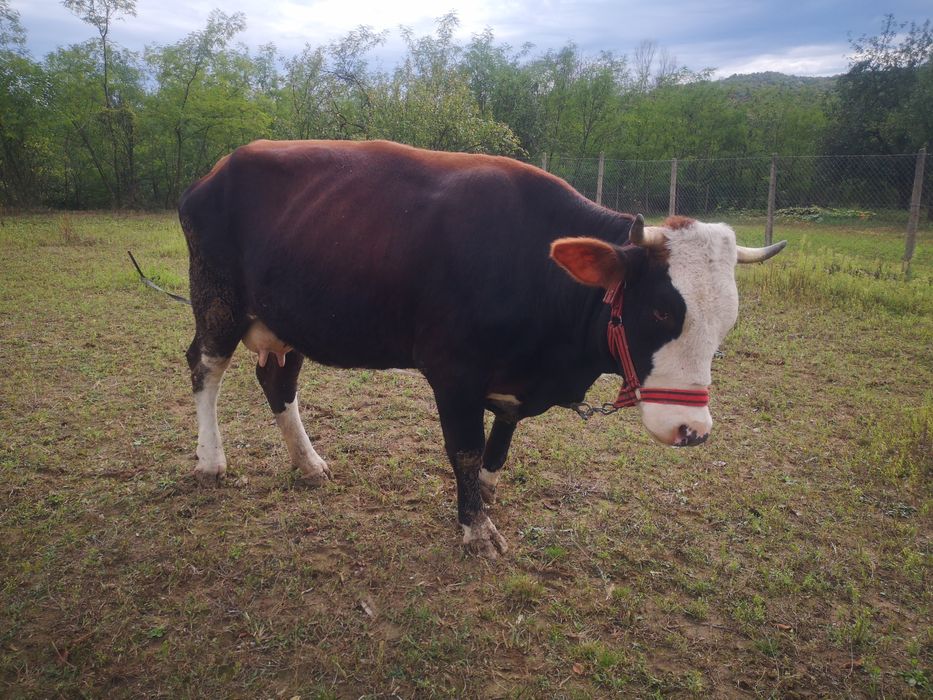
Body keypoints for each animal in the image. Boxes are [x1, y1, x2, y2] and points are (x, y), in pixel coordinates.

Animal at [178, 139, 785, 558]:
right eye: (660, 311)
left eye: (727, 323)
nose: (692, 430)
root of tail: (215, 172)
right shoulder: (453, 373)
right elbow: (465, 449)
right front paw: (474, 527)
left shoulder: (514, 377)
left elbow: (503, 439)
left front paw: (487, 493)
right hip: (218, 302)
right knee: (204, 367)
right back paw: (211, 460)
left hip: (291, 317)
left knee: (278, 382)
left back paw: (308, 462)